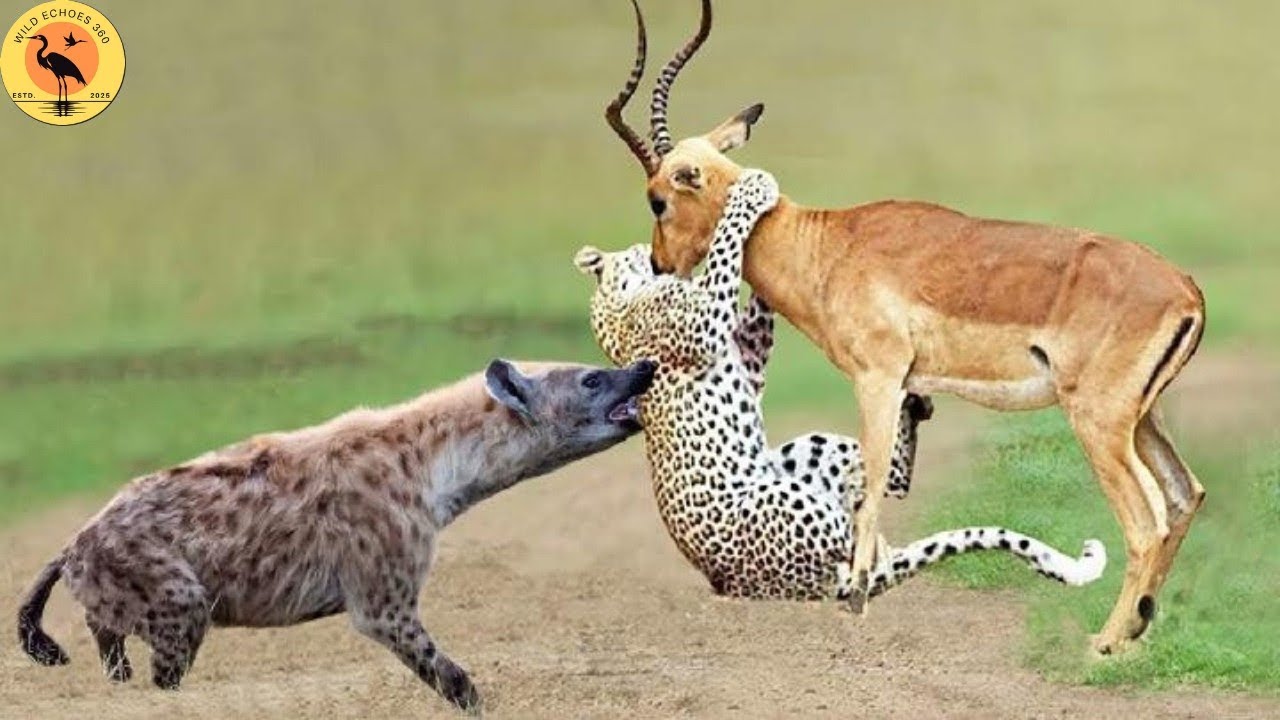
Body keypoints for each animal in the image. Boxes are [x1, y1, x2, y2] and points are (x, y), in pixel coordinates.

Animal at [601, 0, 1205, 654]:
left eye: (658, 199)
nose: (660, 264)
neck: (827, 246)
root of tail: (1185, 289)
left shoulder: (878, 381)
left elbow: (869, 491)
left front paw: (857, 596)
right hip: (1144, 420)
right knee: (1184, 496)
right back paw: (1138, 631)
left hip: (1098, 423)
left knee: (1145, 522)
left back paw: (1104, 645)